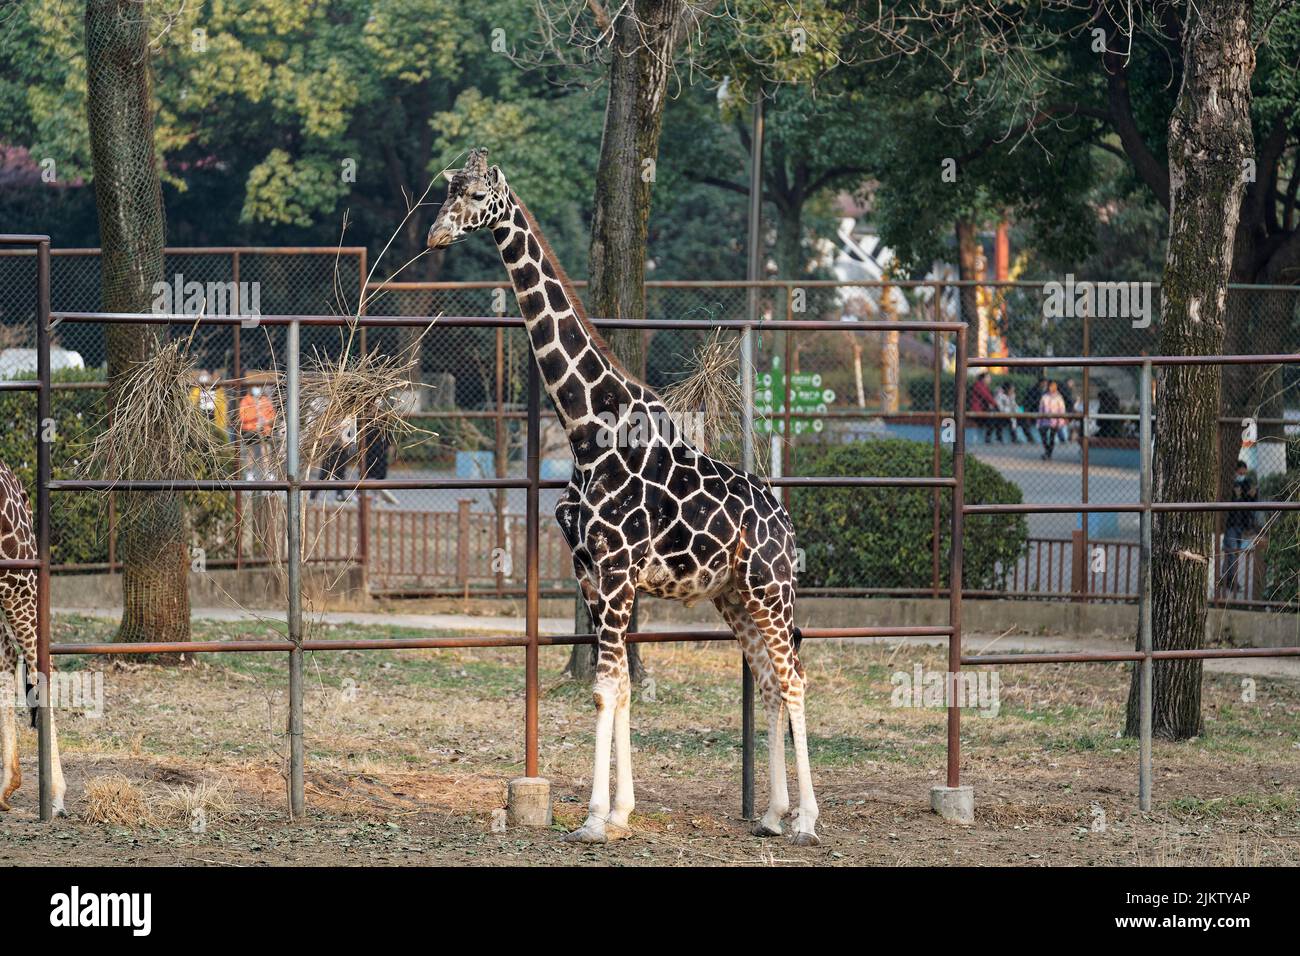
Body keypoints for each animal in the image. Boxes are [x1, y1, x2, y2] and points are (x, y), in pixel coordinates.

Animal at [427, 149, 819, 846]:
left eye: (473, 195)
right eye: (444, 190)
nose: (435, 235)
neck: (586, 427)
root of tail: (785, 523)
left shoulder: (614, 576)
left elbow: (607, 689)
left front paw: (592, 819)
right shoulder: (591, 575)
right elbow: (619, 689)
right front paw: (620, 811)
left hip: (770, 590)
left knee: (794, 678)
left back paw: (807, 820)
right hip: (735, 597)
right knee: (772, 681)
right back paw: (773, 814)